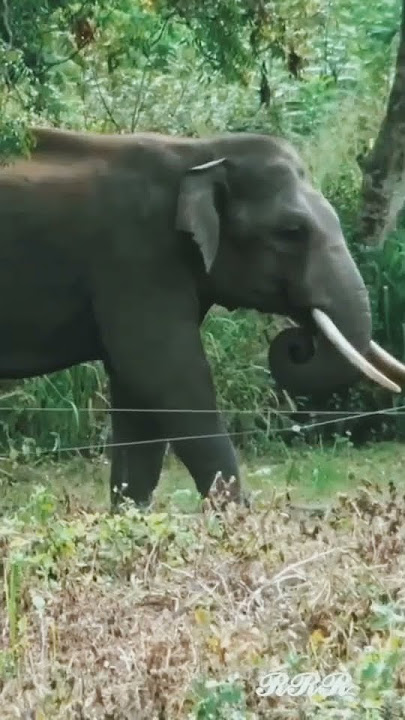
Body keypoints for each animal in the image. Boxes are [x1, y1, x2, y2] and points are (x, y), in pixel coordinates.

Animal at [1, 126, 405, 507]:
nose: (298, 343)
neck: (202, 153)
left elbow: (137, 393)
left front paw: (133, 517)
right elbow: (167, 377)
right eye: (291, 232)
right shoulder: (137, 258)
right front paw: (236, 517)